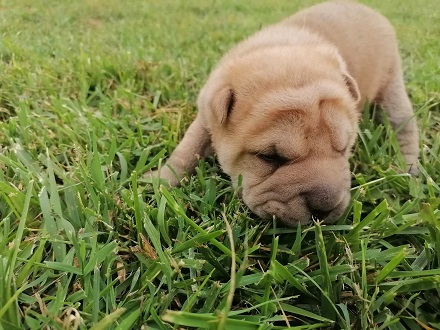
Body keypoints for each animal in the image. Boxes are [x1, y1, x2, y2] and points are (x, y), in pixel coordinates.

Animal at [150, 1, 420, 226]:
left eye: (344, 148)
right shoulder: (206, 113)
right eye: (270, 157)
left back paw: (406, 171)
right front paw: (160, 180)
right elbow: (187, 149)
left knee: (404, 127)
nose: (324, 206)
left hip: (392, 84)